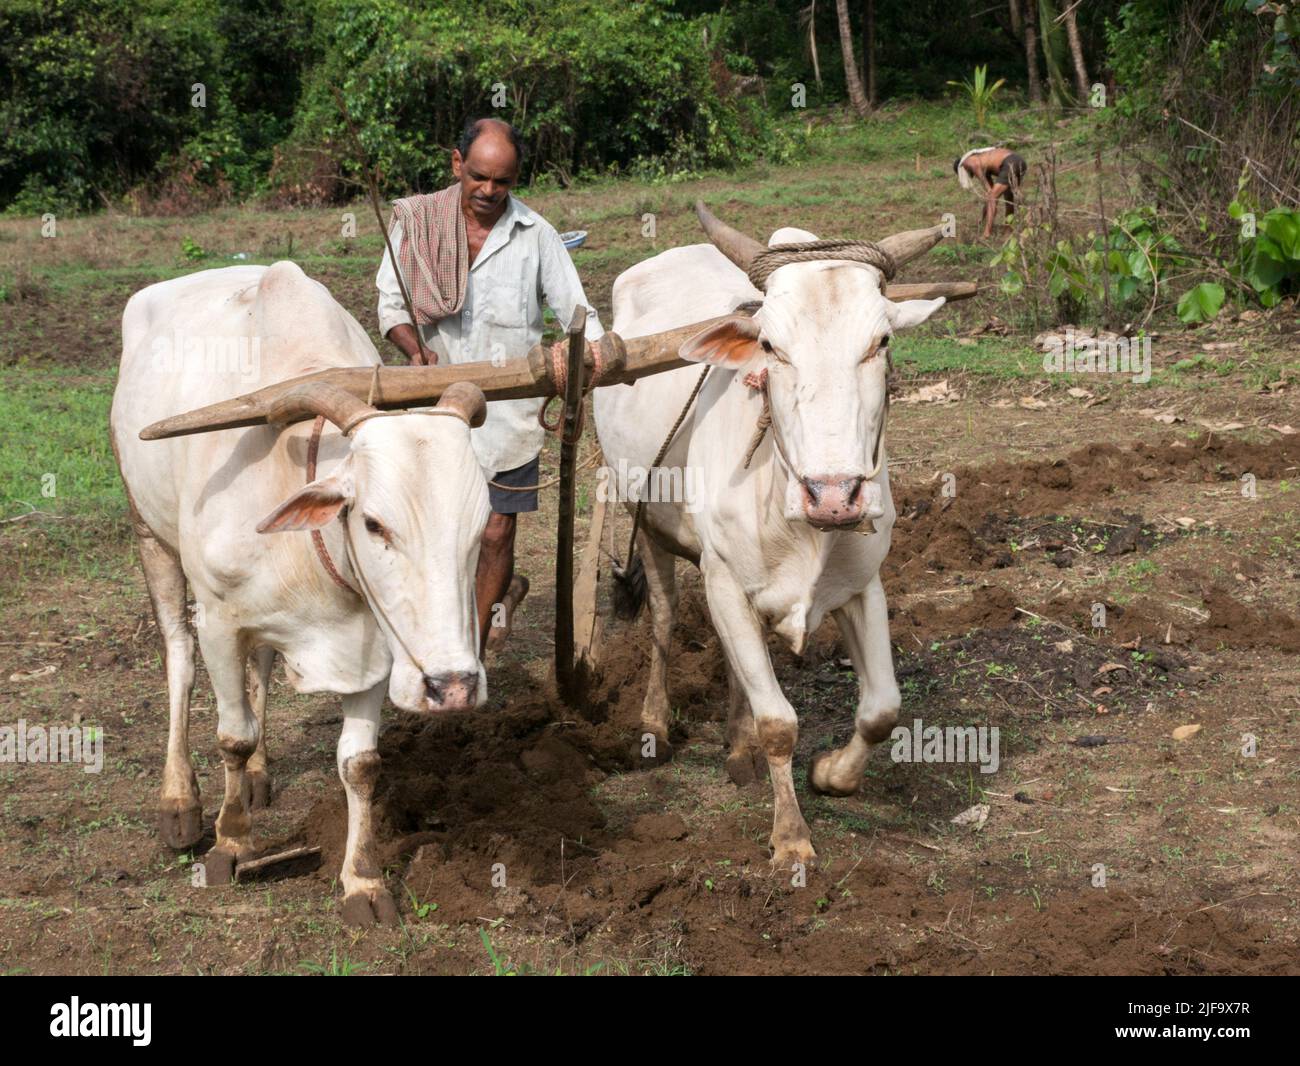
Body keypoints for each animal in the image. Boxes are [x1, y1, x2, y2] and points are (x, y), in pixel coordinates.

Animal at [111, 261, 490, 925]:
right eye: (374, 524)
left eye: (480, 524)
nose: (453, 687)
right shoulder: (219, 622)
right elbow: (231, 736)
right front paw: (231, 845)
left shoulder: (374, 646)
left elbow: (360, 764)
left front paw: (363, 882)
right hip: (148, 534)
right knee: (179, 660)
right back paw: (180, 802)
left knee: (260, 667)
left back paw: (260, 778)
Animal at [593, 204, 951, 869]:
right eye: (769, 346)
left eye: (882, 341)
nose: (833, 494)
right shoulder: (723, 578)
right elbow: (779, 721)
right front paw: (790, 836)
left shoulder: (862, 585)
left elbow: (882, 709)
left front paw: (830, 775)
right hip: (643, 515)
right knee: (663, 615)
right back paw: (655, 722)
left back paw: (738, 748)